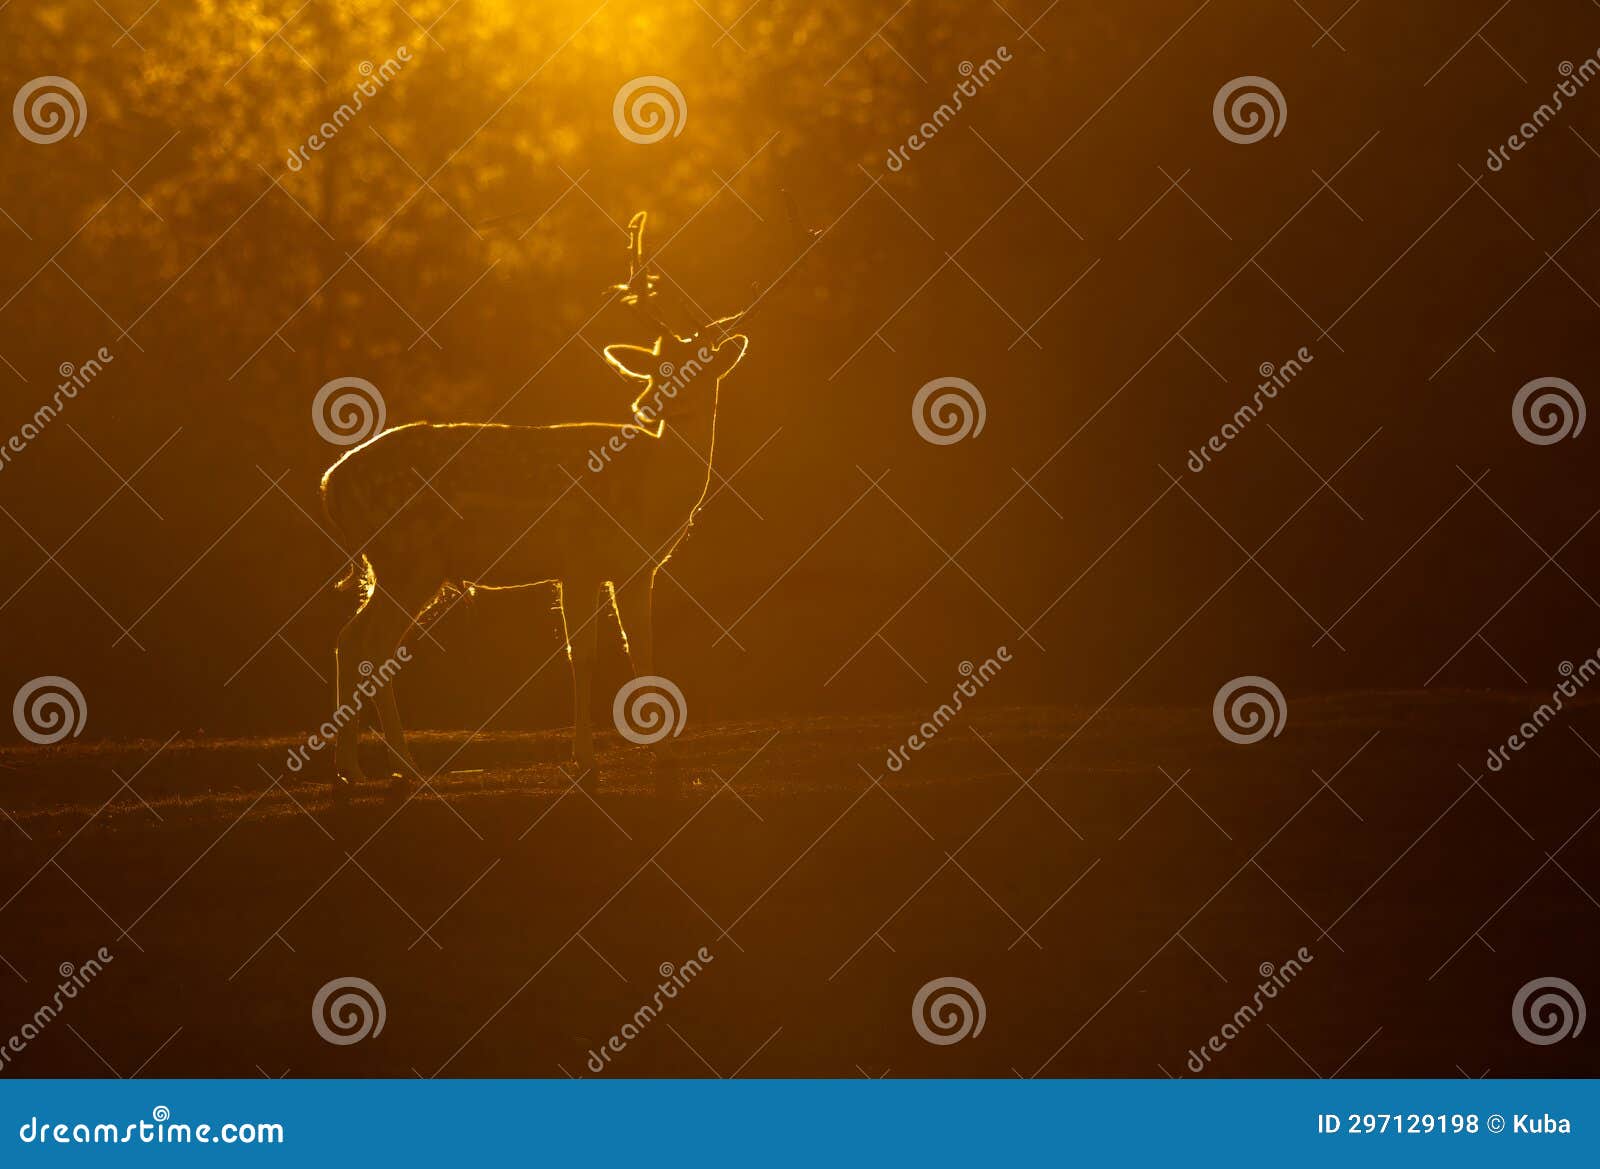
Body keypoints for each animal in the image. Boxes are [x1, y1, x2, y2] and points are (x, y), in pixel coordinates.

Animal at [318, 202, 813, 796]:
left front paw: (665, 756)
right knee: (372, 644)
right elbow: (586, 656)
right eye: (657, 365)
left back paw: (352, 768)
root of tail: (330, 484)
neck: (649, 496)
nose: (648, 403)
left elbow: (642, 648)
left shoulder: (633, 568)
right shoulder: (579, 560)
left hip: (395, 564)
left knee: (350, 636)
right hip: (408, 557)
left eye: (698, 365)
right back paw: (399, 765)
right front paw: (586, 761)